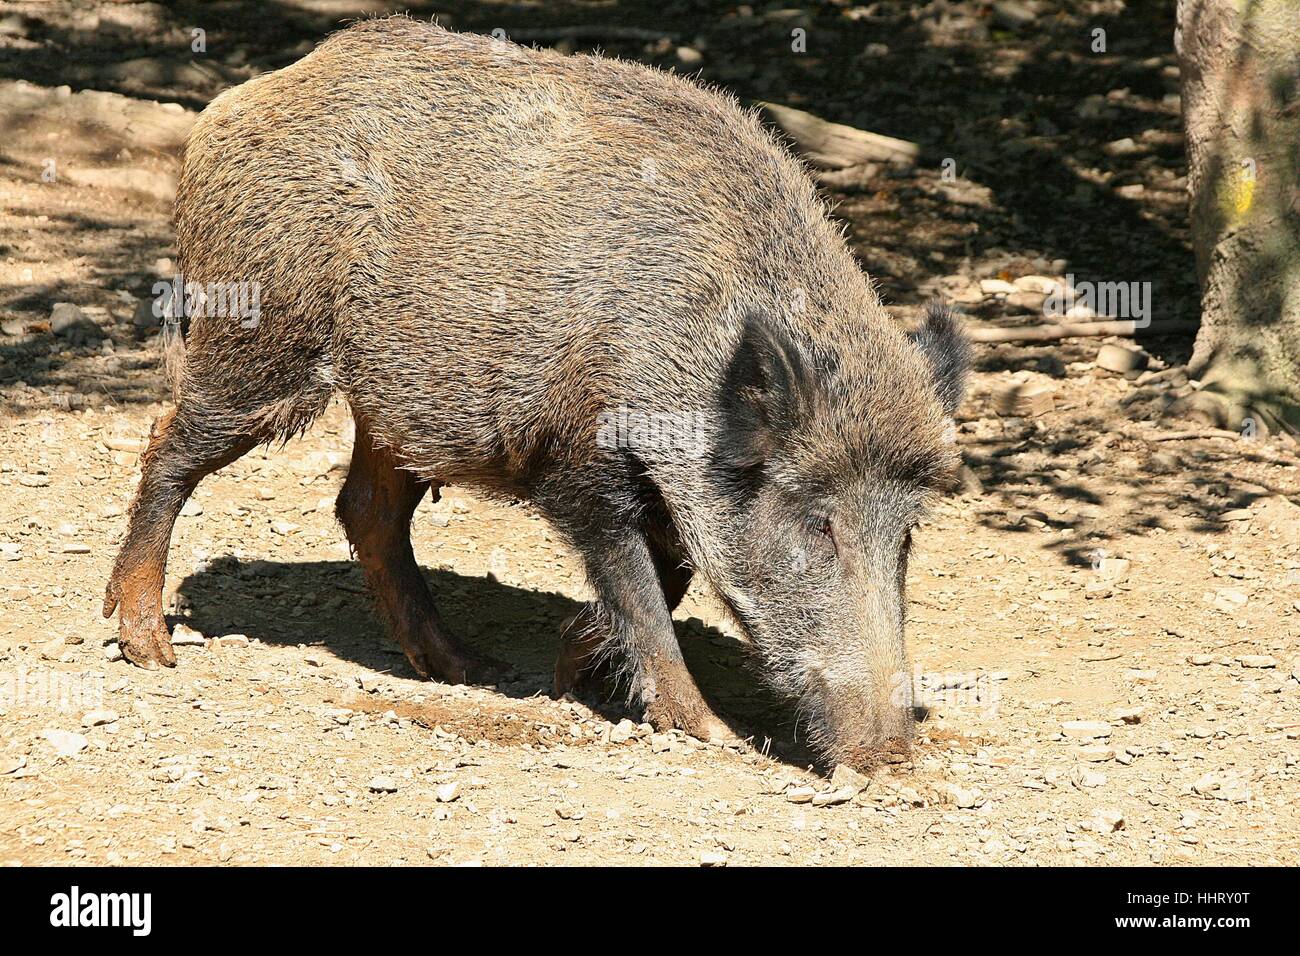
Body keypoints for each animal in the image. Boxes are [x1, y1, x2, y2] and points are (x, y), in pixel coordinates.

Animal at [103, 17, 969, 769]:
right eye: (819, 523)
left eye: (908, 534)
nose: (893, 757)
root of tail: (241, 100)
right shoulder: (578, 459)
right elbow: (643, 594)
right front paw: (711, 733)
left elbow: (671, 578)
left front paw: (566, 674)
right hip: (262, 339)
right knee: (169, 446)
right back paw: (150, 648)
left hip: (393, 401)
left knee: (367, 509)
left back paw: (466, 667)